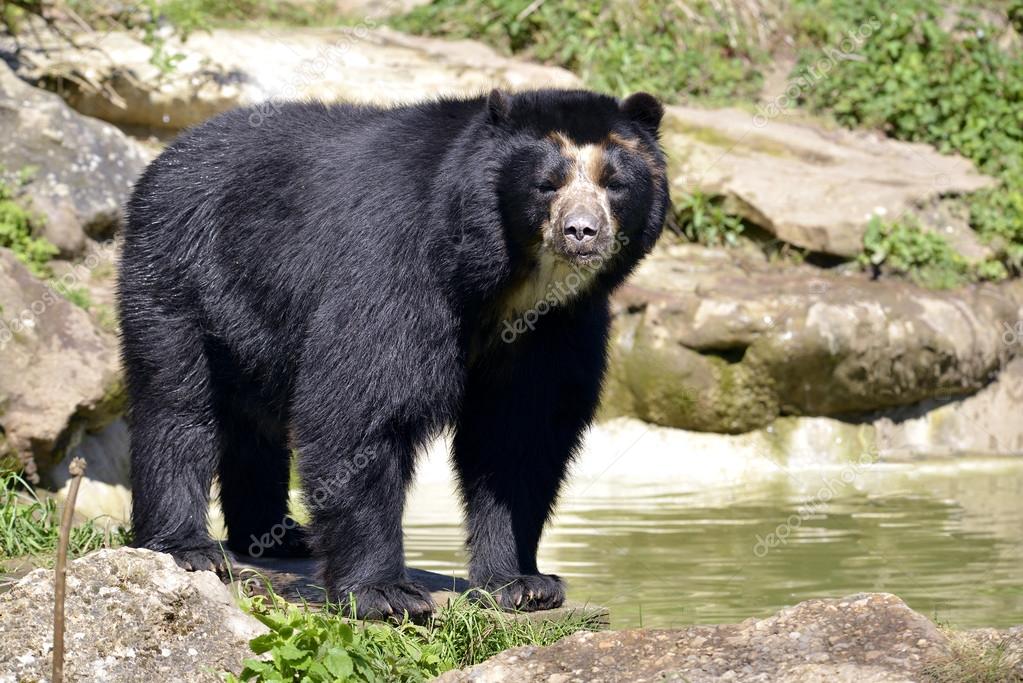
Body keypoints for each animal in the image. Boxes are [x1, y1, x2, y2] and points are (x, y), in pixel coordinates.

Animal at [119, 88, 669, 620]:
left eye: (614, 183)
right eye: (546, 184)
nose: (582, 232)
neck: (509, 281)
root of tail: (169, 154)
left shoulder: (558, 326)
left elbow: (521, 434)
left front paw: (523, 584)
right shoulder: (398, 266)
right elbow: (362, 409)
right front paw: (386, 594)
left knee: (254, 421)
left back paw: (276, 536)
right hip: (181, 270)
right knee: (176, 404)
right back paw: (189, 546)